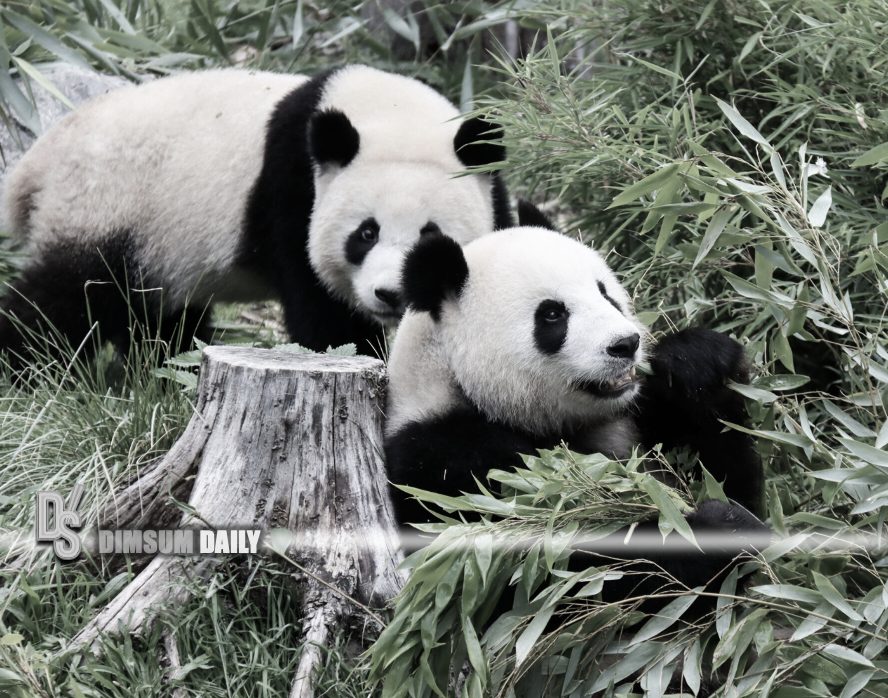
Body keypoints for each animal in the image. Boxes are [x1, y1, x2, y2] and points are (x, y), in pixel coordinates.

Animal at [0, 65, 510, 365]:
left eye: (429, 234)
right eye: (366, 234)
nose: (391, 295)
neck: (390, 114)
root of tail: (37, 160)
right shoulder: (294, 186)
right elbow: (323, 312)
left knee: (156, 316)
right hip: (106, 205)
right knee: (68, 297)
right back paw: (24, 369)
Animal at [384, 202, 767, 593]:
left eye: (605, 293)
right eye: (553, 314)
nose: (626, 344)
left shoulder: (640, 418)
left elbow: (722, 472)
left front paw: (696, 362)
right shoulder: (447, 461)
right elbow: (552, 564)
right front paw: (721, 529)